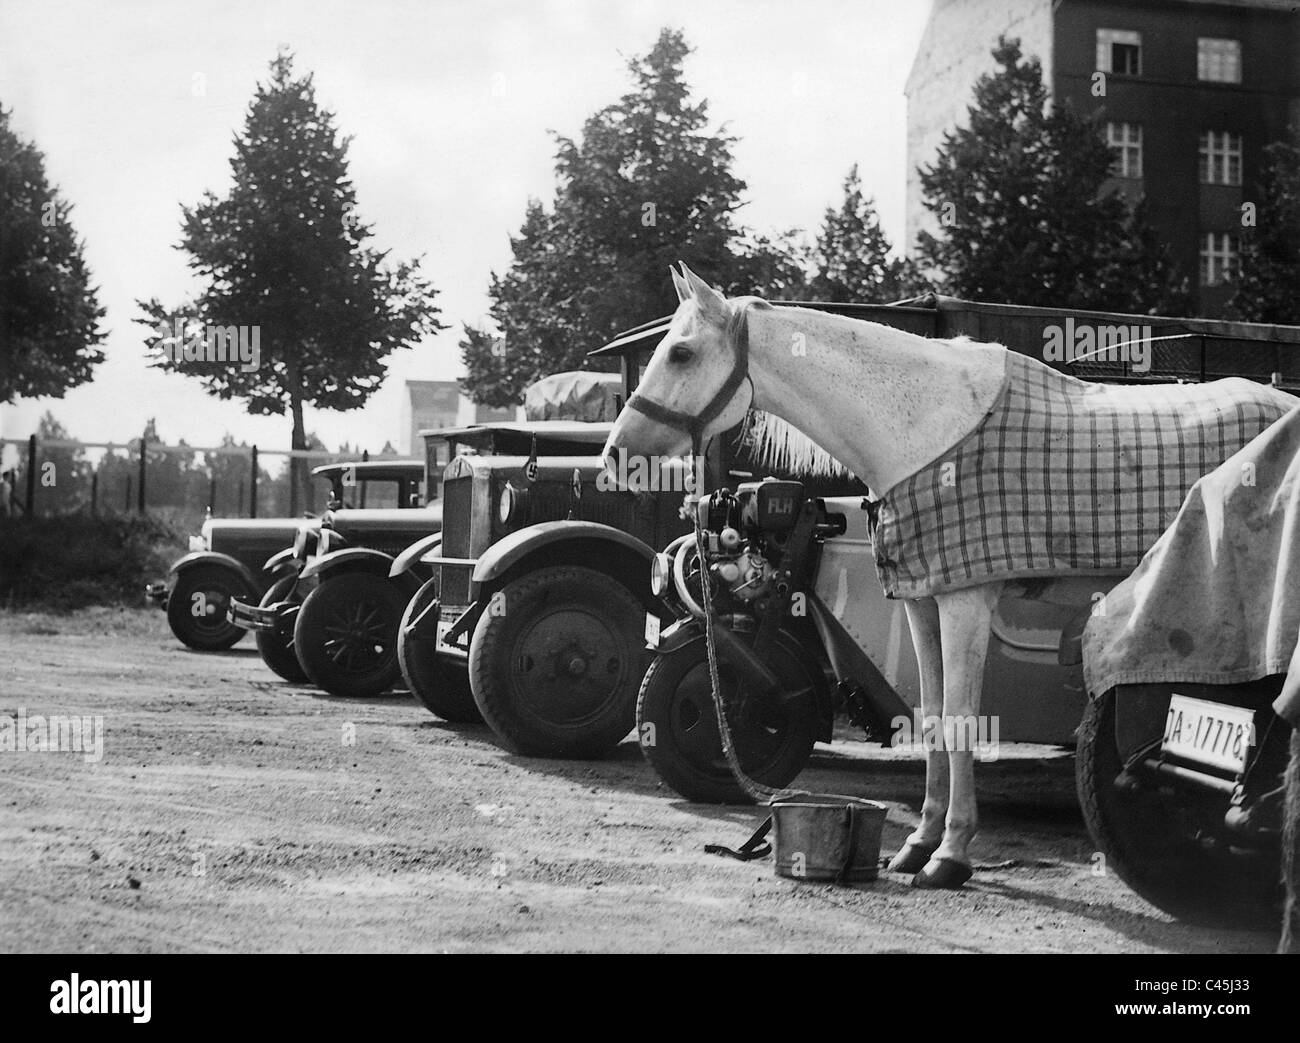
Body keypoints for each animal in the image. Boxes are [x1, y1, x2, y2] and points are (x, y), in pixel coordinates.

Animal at [603, 262, 1295, 889]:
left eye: (682, 352)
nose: (615, 456)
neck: (924, 434)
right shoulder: (922, 601)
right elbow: (932, 713)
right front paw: (917, 843)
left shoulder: (965, 601)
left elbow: (962, 715)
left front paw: (952, 854)